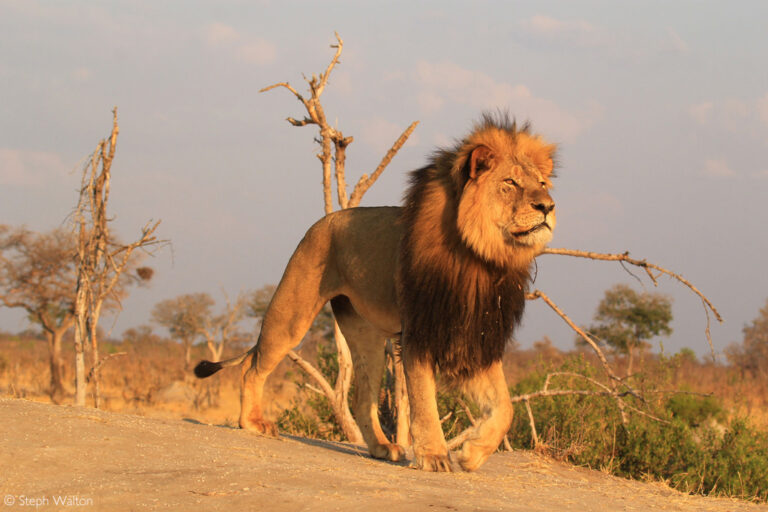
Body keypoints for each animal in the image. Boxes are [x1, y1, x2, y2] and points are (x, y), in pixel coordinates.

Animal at [195, 114, 557, 472]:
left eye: (542, 183)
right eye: (510, 182)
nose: (548, 206)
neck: (481, 257)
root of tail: (323, 221)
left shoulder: (474, 336)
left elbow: (505, 407)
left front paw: (471, 453)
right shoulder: (419, 331)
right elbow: (424, 401)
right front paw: (435, 456)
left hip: (364, 334)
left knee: (361, 398)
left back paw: (382, 448)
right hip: (292, 313)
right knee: (253, 365)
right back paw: (252, 422)